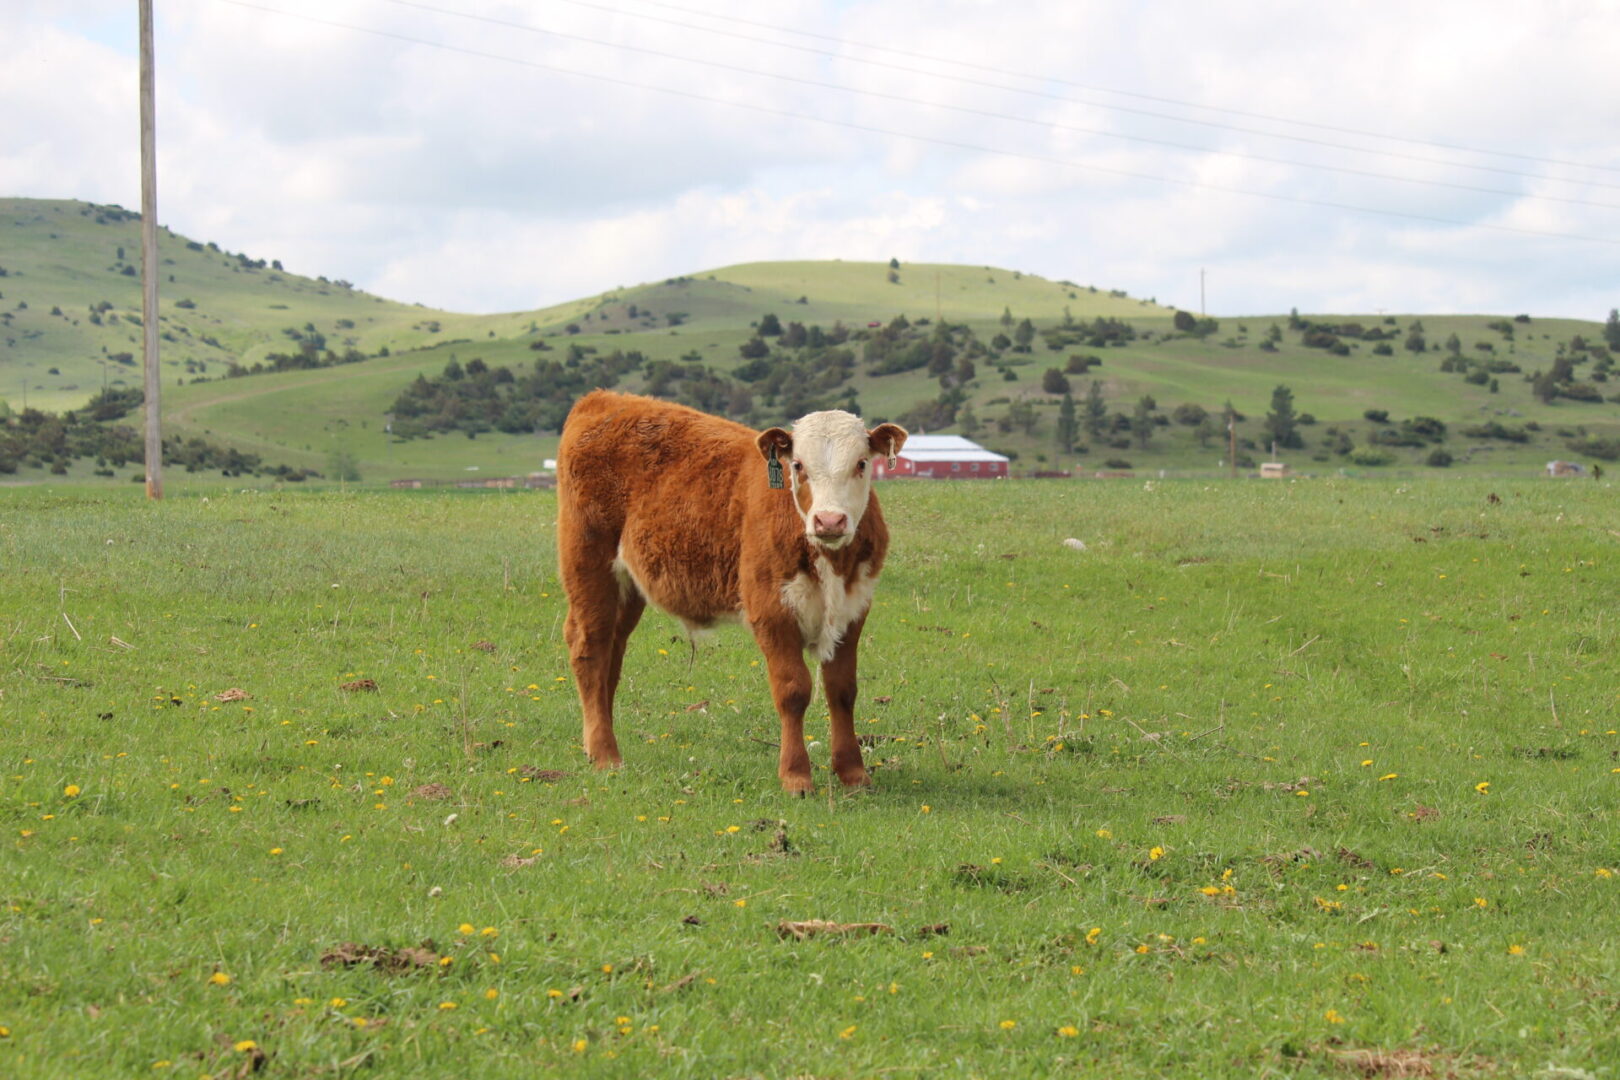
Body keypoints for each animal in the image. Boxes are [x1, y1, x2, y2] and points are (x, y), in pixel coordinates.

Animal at [556, 391, 907, 793]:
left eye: (862, 463)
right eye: (798, 465)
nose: (829, 520)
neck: (829, 560)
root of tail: (603, 399)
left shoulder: (853, 609)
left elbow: (842, 689)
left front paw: (853, 773)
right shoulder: (770, 610)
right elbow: (793, 690)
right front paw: (796, 775)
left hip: (628, 587)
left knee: (611, 656)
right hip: (588, 563)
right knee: (589, 648)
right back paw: (604, 754)